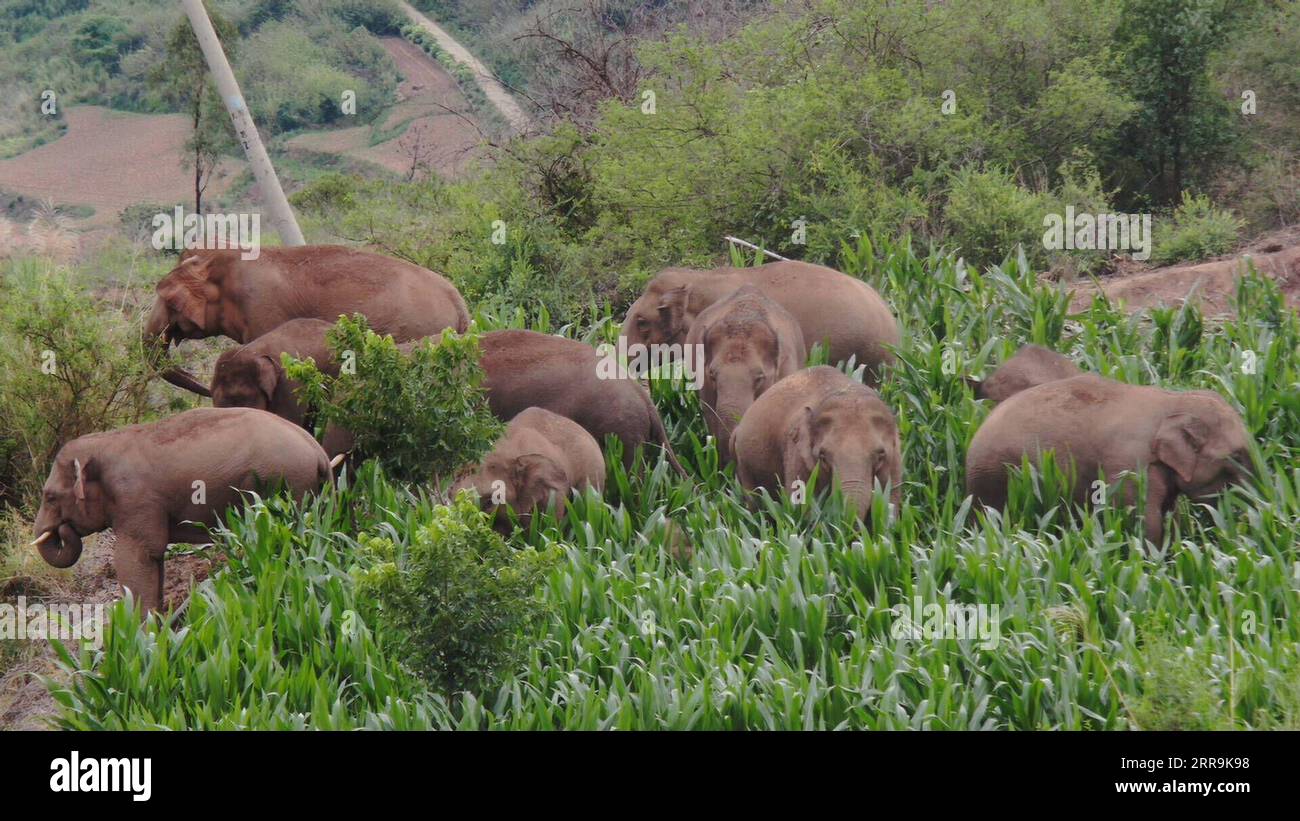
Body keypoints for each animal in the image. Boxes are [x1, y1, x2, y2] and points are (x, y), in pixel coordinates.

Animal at [31, 408, 335, 615]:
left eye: (50, 496)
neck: (105, 441)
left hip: (285, 486)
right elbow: (154, 560)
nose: (61, 529)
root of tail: (318, 451)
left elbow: (137, 557)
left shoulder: (136, 501)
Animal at [730, 366, 903, 520]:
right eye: (823, 456)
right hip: (744, 464)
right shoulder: (796, 454)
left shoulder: (895, 461)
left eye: (880, 455)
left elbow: (889, 505)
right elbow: (802, 504)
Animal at [964, 374, 1254, 545]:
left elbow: (1168, 513)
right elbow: (1142, 516)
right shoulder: (1129, 466)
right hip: (995, 475)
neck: (1173, 402)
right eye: (1236, 457)